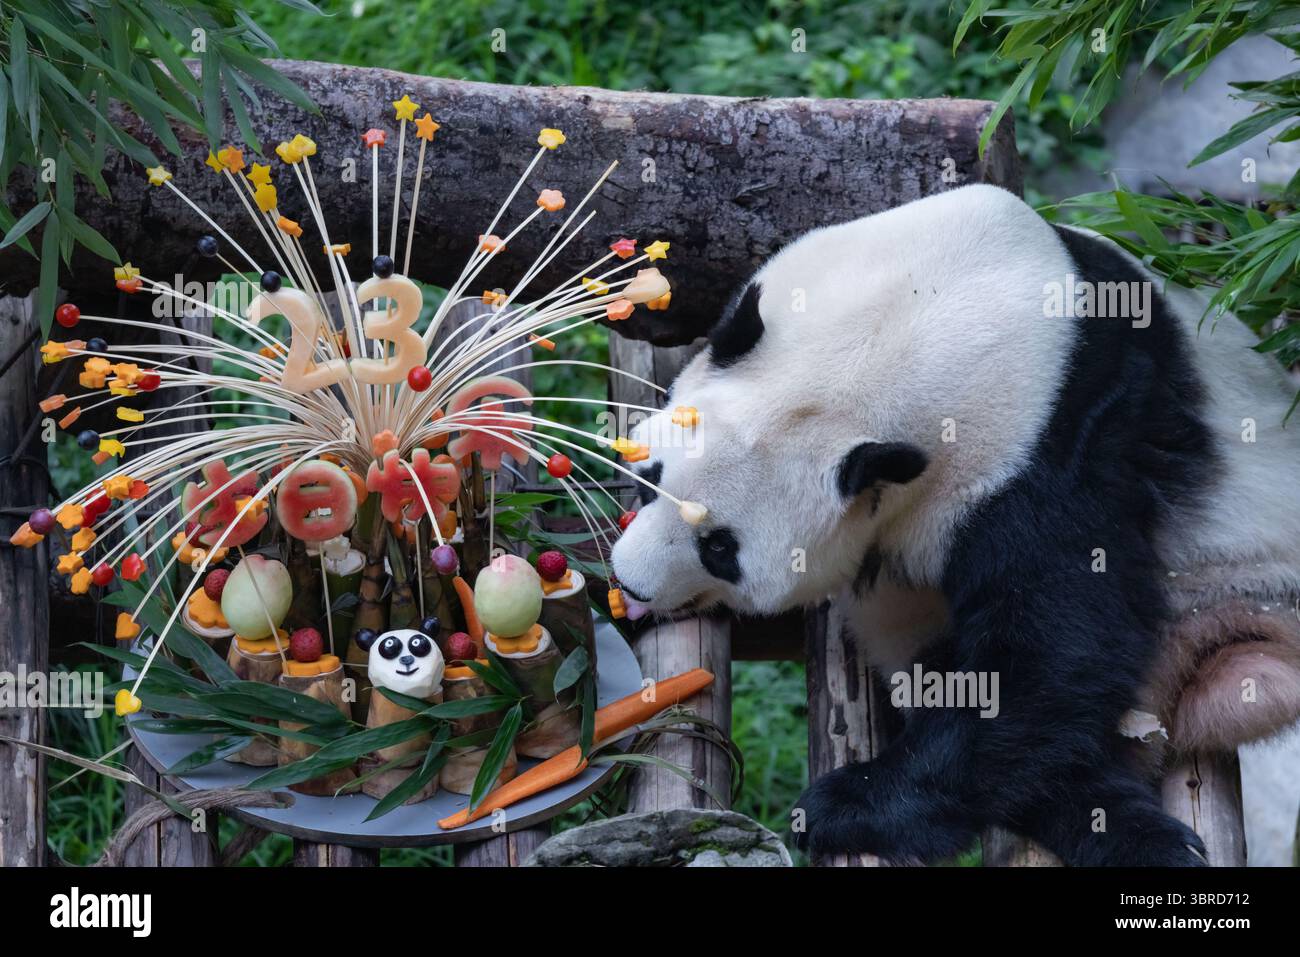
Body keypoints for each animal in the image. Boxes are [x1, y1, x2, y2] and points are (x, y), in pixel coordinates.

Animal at [610, 183, 1300, 867]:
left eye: (720, 549)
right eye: (653, 476)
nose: (631, 585)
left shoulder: (1055, 445)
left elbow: (1046, 650)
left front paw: (847, 803)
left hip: (1239, 601)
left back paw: (1138, 835)